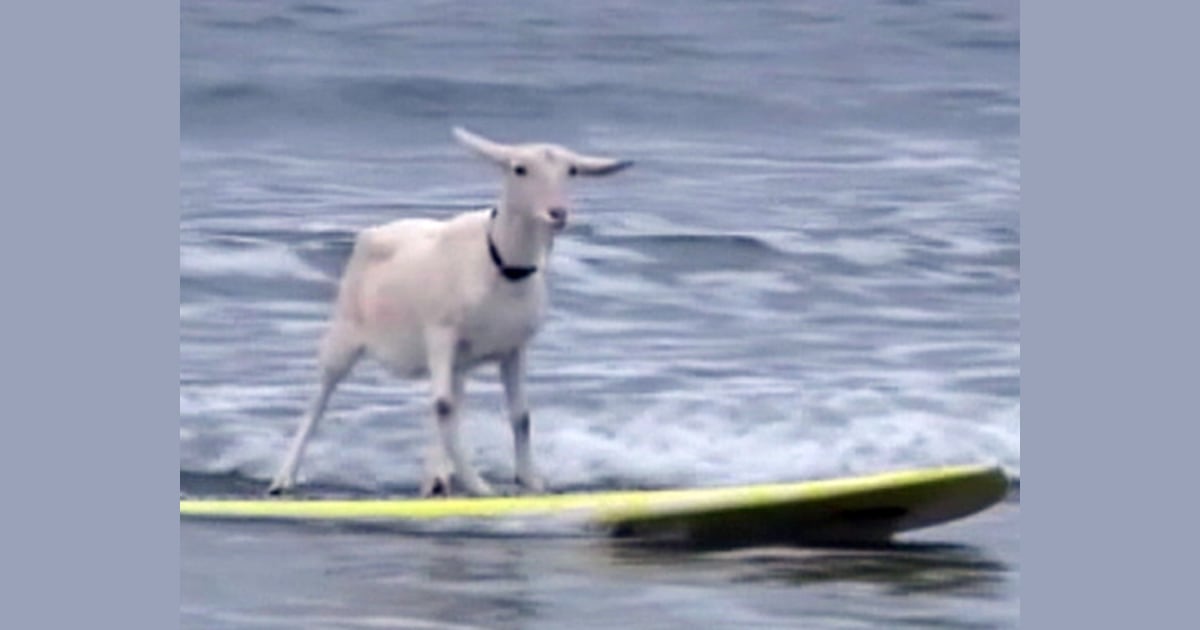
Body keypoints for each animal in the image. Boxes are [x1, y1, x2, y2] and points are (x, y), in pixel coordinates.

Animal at [267, 127, 633, 497]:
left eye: (571, 171)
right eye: (519, 168)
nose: (557, 213)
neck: (500, 265)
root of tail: (374, 233)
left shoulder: (513, 347)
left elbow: (519, 414)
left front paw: (531, 481)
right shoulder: (441, 333)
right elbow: (445, 406)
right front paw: (480, 486)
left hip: (459, 360)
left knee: (449, 401)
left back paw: (435, 478)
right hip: (346, 331)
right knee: (322, 396)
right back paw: (283, 479)